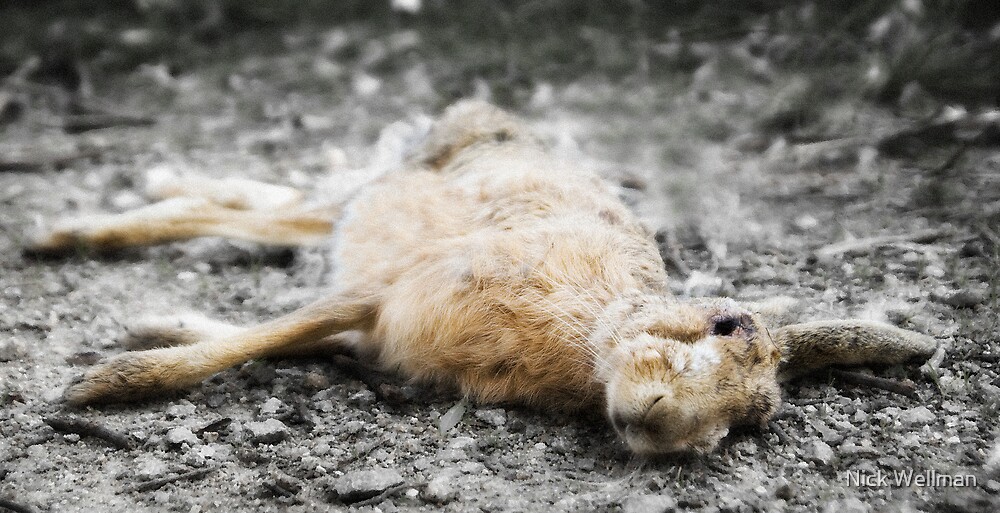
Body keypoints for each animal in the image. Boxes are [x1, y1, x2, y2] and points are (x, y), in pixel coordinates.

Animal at [28, 100, 938, 455]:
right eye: (726, 325)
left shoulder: (375, 331)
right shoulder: (386, 291)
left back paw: (146, 189)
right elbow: (257, 339)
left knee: (270, 204)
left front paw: (156, 320)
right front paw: (105, 383)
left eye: (745, 426)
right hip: (372, 210)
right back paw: (67, 231)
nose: (662, 424)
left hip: (344, 214)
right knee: (254, 214)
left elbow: (283, 339)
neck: (600, 333)